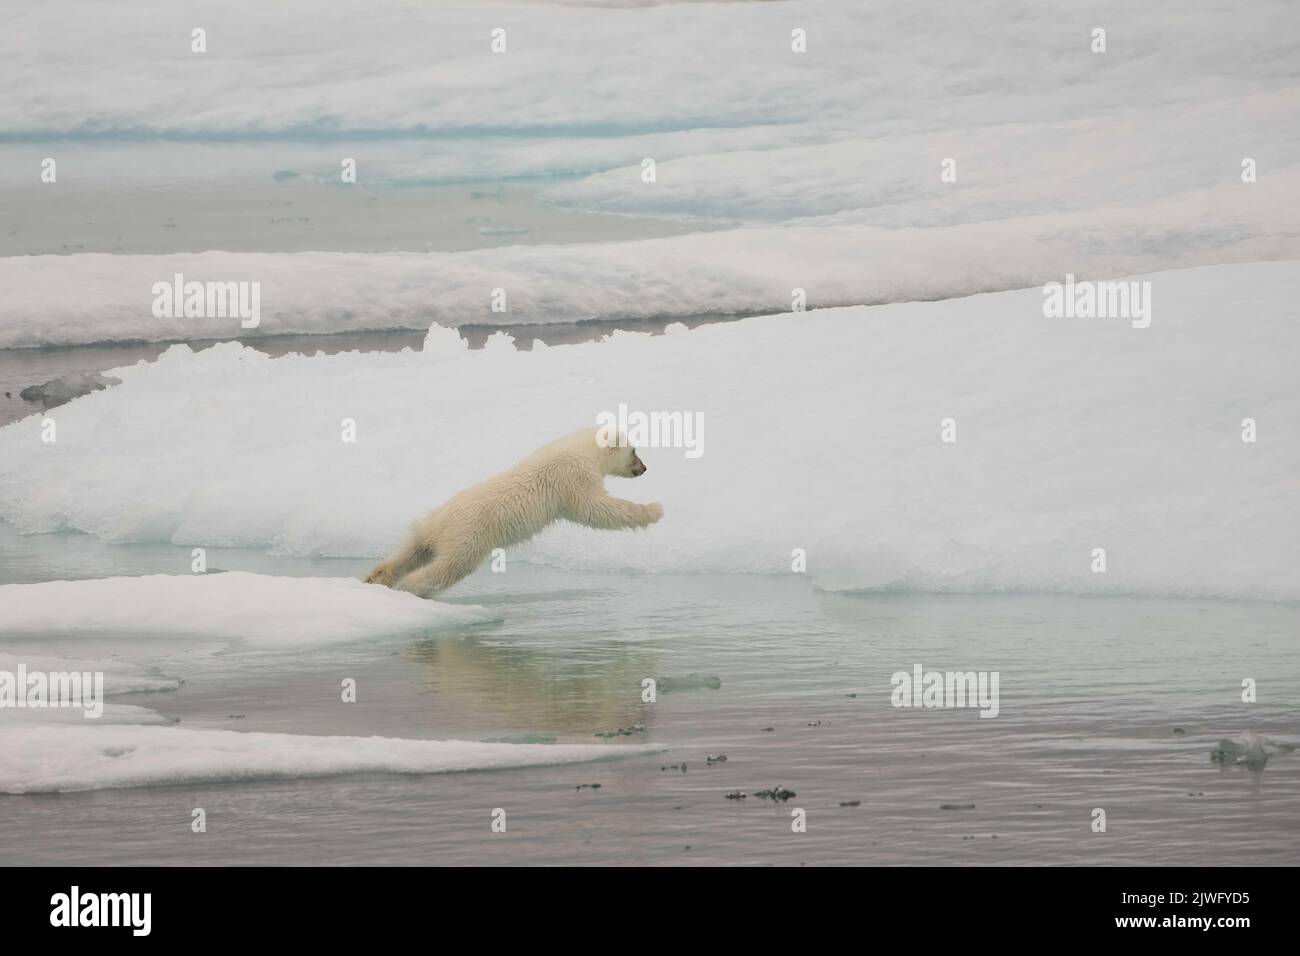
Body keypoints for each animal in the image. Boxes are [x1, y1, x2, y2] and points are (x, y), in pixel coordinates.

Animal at [365, 427, 663, 597]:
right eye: (634, 450)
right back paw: (409, 589)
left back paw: (377, 577)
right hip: (469, 535)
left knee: (411, 549)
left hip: (429, 524)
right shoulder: (573, 477)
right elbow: (597, 509)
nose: (644, 468)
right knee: (447, 567)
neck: (582, 451)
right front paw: (654, 510)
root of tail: (443, 523)